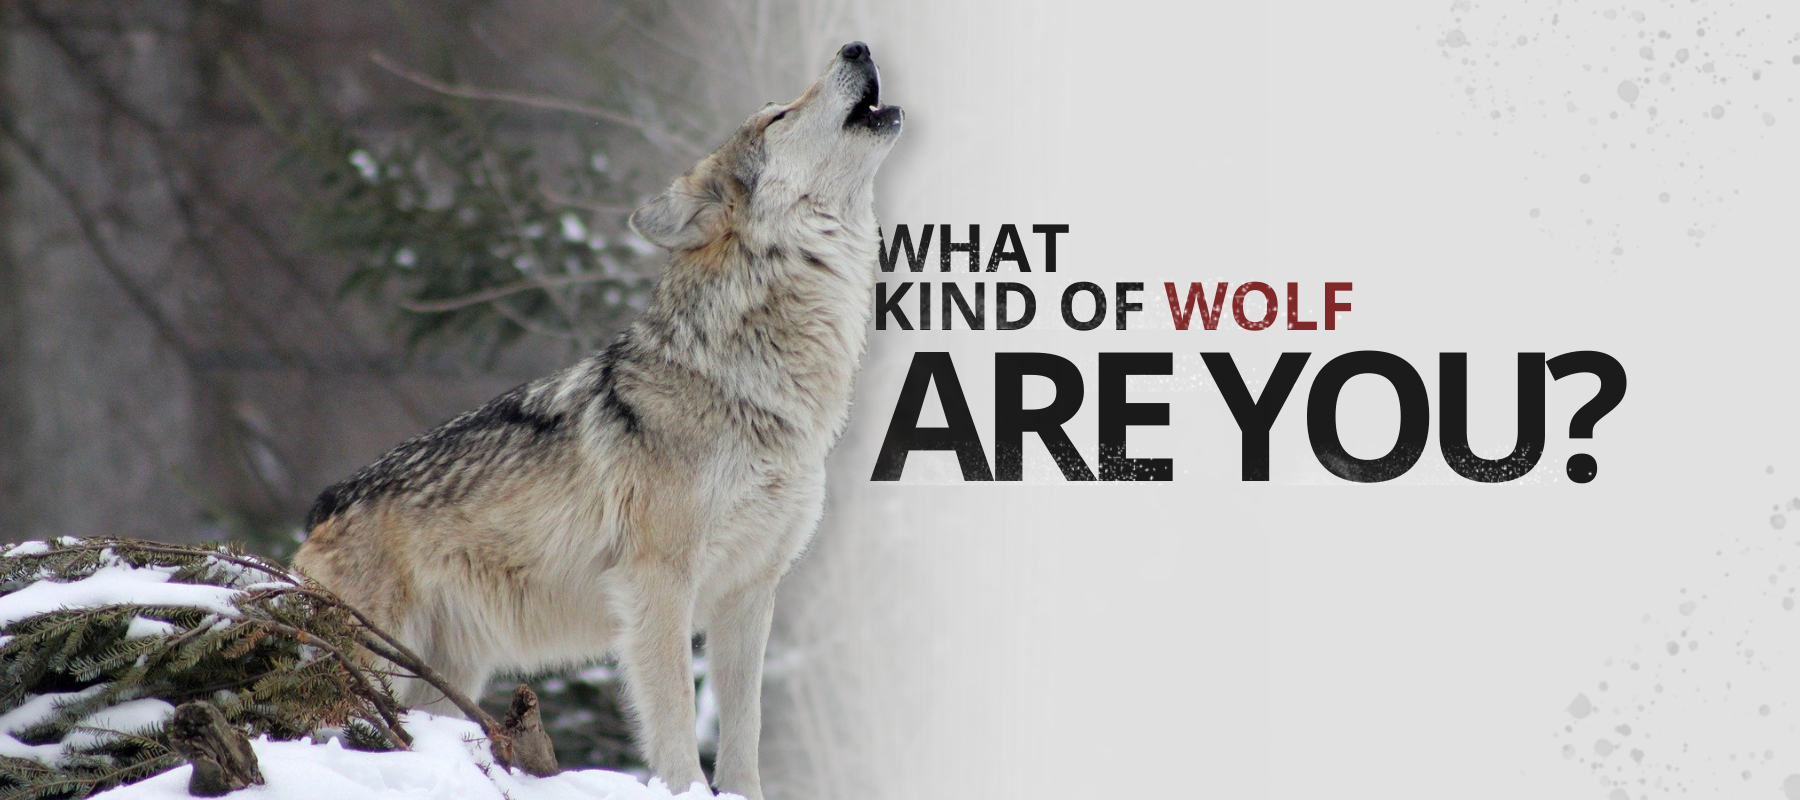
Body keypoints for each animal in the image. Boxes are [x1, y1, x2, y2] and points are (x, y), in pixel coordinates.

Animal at [292, 42, 902, 798]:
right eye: (779, 114)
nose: (857, 46)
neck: (753, 385)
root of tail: (324, 505)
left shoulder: (750, 591)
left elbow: (745, 736)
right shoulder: (658, 583)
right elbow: (675, 724)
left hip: (444, 678)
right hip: (374, 663)